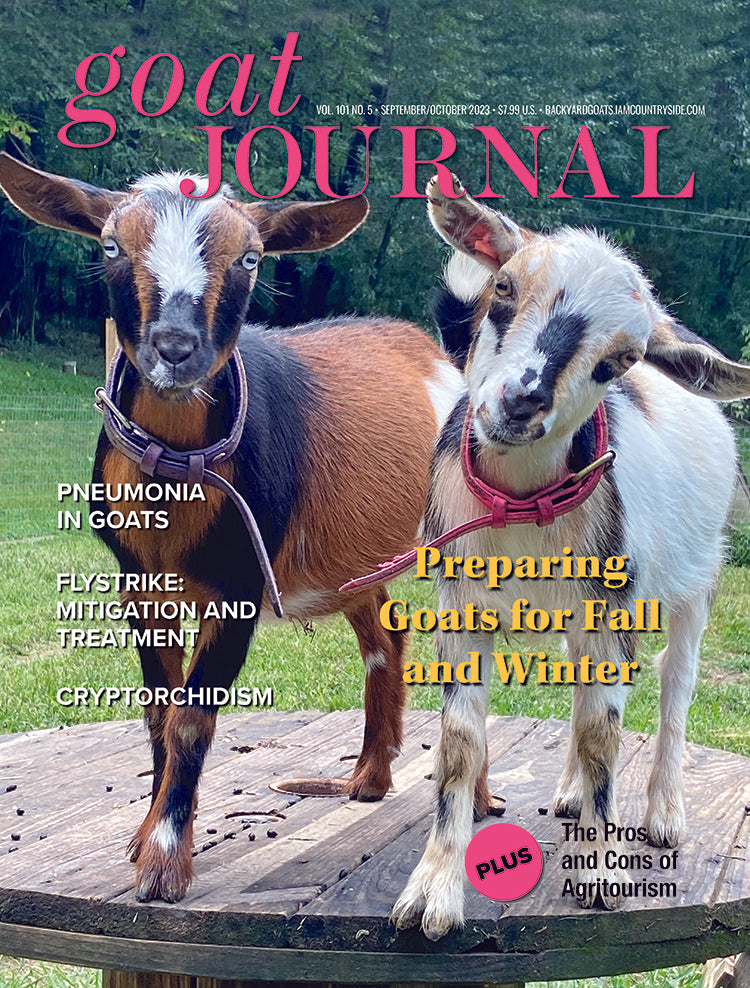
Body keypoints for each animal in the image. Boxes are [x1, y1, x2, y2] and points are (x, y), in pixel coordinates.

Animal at [0, 152, 464, 903]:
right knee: (384, 638)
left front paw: (164, 865)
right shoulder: (140, 584)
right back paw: (368, 778)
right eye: (110, 245)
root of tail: (433, 350)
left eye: (249, 257)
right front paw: (145, 837)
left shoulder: (243, 582)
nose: (174, 347)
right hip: (356, 559)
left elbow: (193, 718)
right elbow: (158, 713)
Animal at [390, 173, 750, 939]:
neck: (522, 506)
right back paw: (567, 795)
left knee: (675, 683)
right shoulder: (461, 608)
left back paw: (664, 812)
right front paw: (433, 892)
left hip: (697, 578)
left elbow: (601, 736)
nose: (522, 401)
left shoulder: (611, 610)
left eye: (619, 361)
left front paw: (601, 873)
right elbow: (462, 743)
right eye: (502, 288)